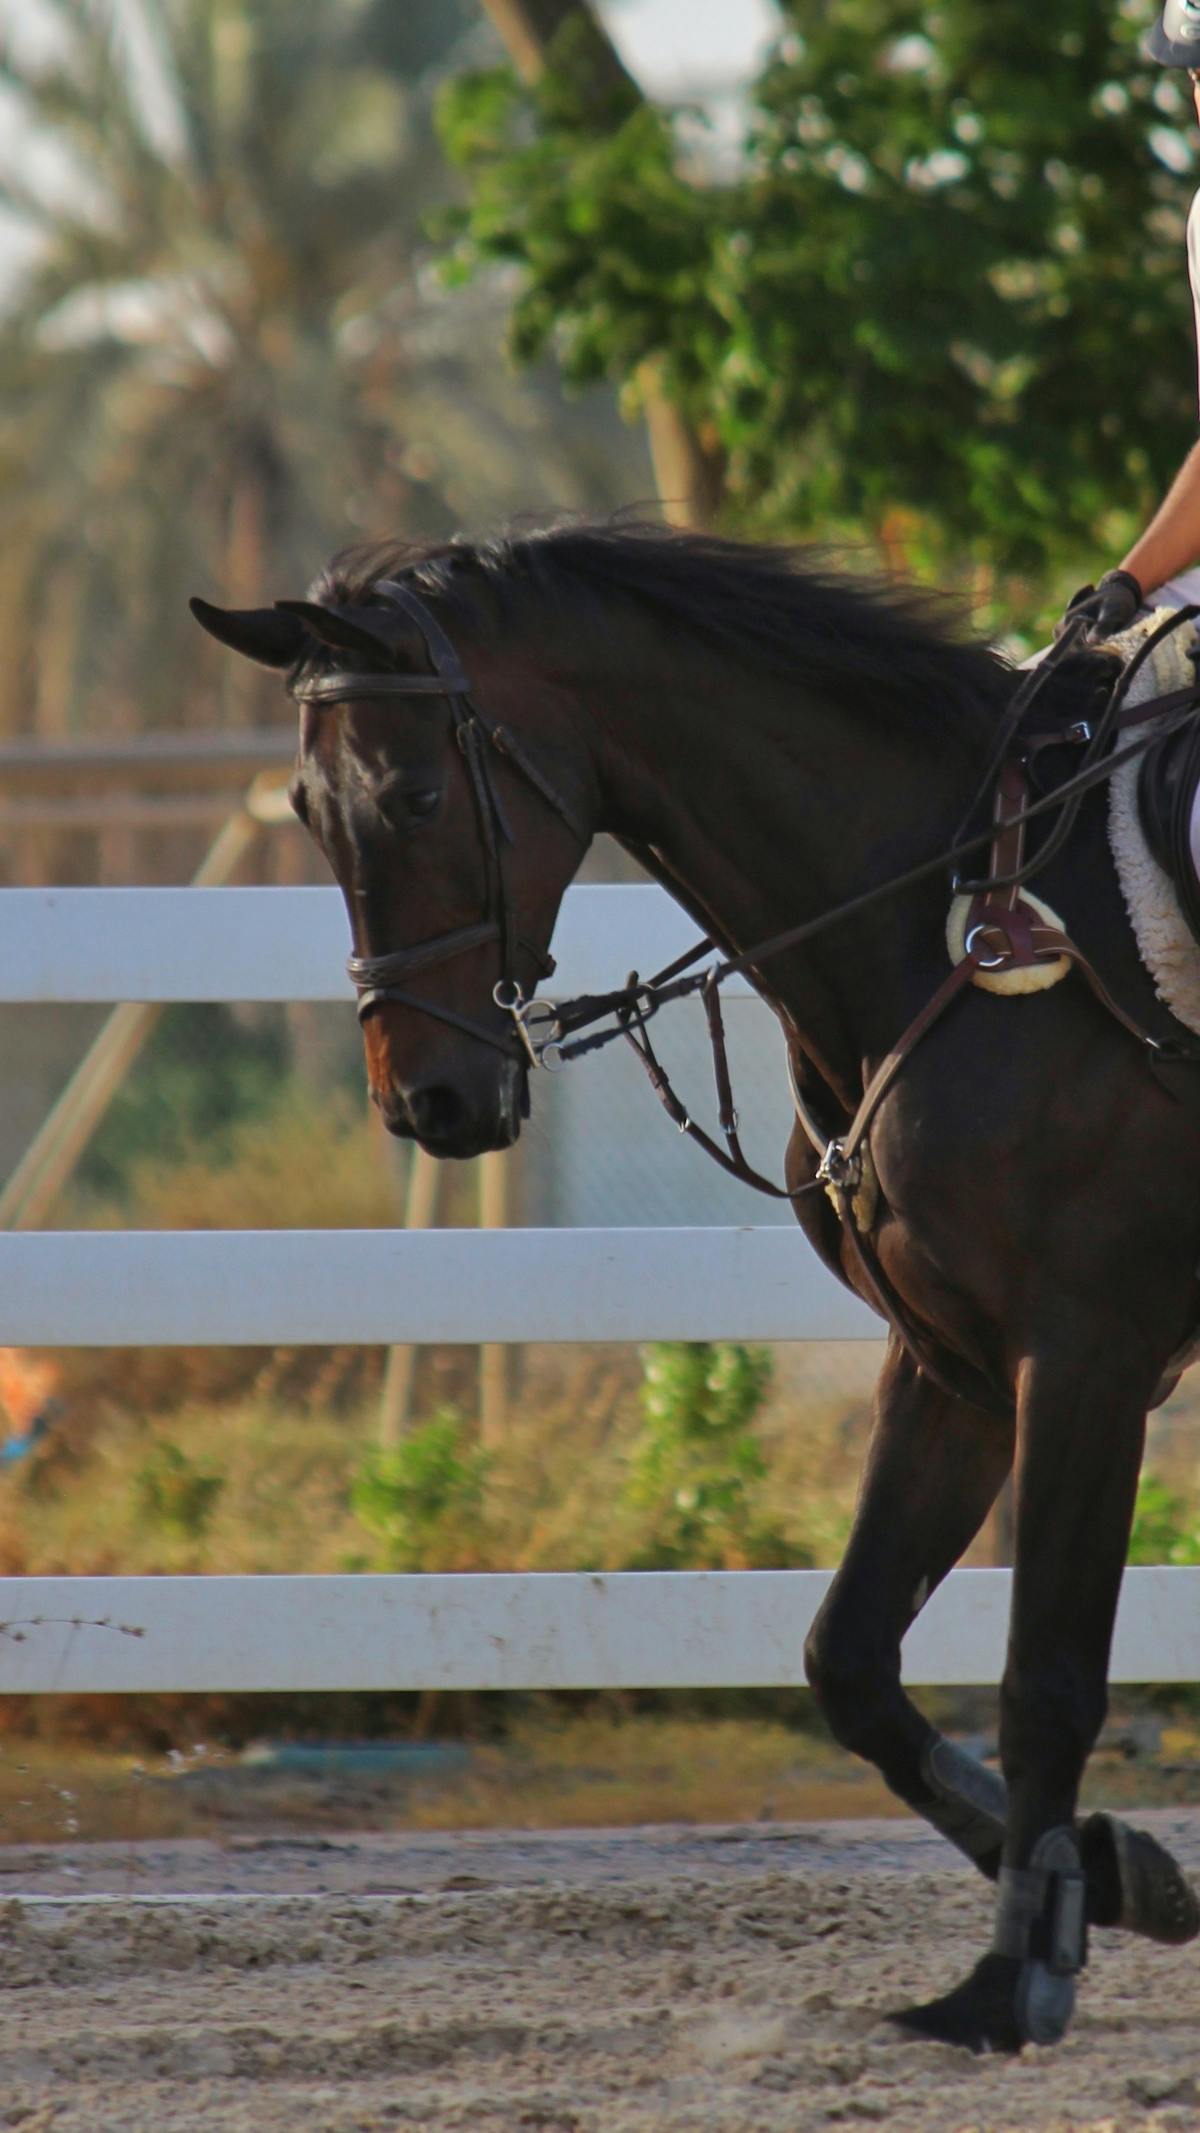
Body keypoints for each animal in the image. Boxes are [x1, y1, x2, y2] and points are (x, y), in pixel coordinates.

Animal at [192, 521, 1200, 2053]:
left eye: (417, 795)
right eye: (308, 811)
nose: (426, 1103)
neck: (952, 917)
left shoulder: (1083, 1357)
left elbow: (1044, 1678)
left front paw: (1013, 1979)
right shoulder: (952, 1365)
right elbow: (849, 1662)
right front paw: (1115, 1871)